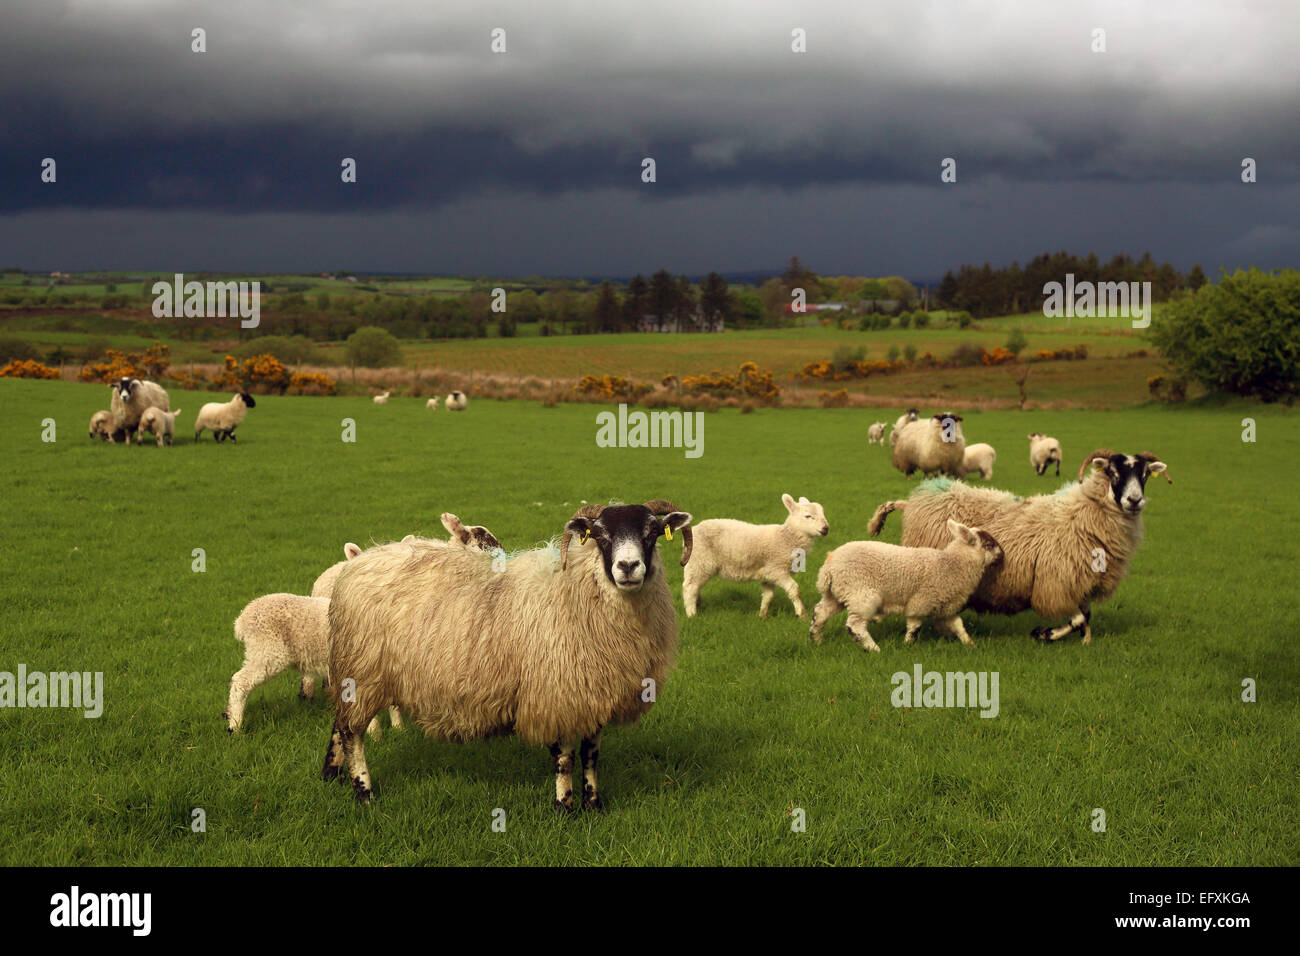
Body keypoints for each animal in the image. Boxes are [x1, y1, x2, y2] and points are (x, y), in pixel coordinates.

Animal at [321, 499, 693, 808]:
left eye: (652, 532)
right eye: (600, 535)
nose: (628, 566)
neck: (578, 587)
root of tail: (362, 559)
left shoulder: (592, 694)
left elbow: (591, 755)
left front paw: (593, 805)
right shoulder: (552, 694)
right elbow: (564, 759)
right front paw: (564, 808)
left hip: (352, 671)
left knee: (339, 723)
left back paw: (331, 774)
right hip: (363, 670)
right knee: (352, 733)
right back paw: (364, 792)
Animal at [682, 493, 829, 619]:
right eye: (808, 516)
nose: (826, 529)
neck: (787, 538)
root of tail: (693, 530)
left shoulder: (768, 574)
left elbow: (768, 596)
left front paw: (762, 615)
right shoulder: (777, 569)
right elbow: (795, 590)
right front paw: (802, 614)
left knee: (695, 586)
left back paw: (697, 605)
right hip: (699, 560)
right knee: (689, 587)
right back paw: (691, 614)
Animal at [809, 520, 1003, 651]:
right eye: (989, 544)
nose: (1003, 555)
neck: (952, 564)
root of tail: (829, 564)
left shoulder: (946, 605)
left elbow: (958, 625)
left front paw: (970, 644)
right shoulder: (921, 601)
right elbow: (914, 626)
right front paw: (908, 644)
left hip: (837, 594)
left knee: (820, 613)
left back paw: (816, 640)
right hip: (860, 594)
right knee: (854, 625)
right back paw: (873, 649)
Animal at [867, 449, 1169, 644]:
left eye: (1144, 475)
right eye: (1113, 472)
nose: (1134, 501)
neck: (1082, 514)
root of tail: (912, 501)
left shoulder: (1080, 582)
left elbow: (1086, 618)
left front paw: (1084, 643)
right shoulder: (1055, 584)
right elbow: (1077, 619)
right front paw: (1044, 634)